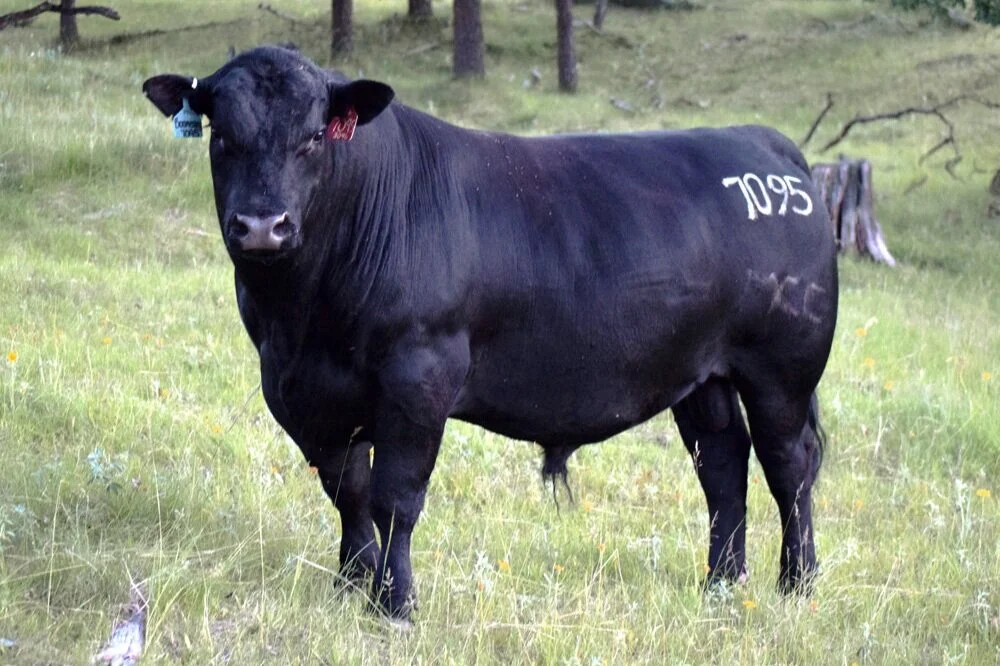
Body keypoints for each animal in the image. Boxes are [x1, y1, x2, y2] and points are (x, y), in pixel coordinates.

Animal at [143, 45, 838, 622]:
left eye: (315, 135)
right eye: (221, 134)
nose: (263, 226)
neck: (302, 319)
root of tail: (761, 141)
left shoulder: (419, 376)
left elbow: (395, 498)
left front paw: (395, 605)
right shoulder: (298, 391)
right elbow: (348, 492)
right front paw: (349, 587)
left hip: (781, 369)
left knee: (789, 464)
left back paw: (796, 584)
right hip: (701, 374)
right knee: (722, 463)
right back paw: (720, 584)